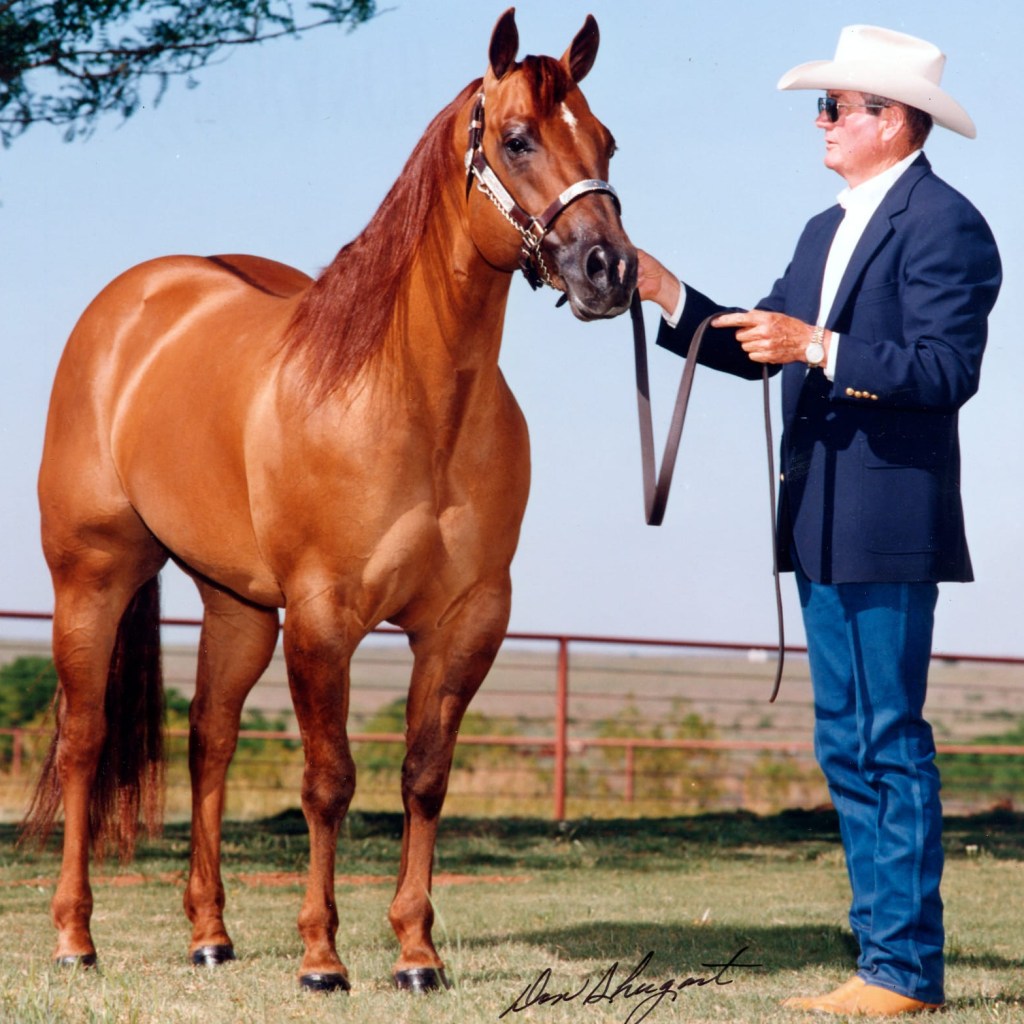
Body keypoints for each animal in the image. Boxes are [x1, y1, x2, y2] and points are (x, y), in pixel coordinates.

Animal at [26, 8, 635, 994]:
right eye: (517, 138)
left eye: (607, 140)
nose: (608, 269)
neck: (417, 399)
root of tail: (133, 304)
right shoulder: (324, 617)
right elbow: (329, 782)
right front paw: (322, 958)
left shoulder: (468, 621)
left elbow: (423, 778)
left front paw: (417, 954)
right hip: (93, 577)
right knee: (83, 742)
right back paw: (75, 938)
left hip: (236, 605)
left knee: (209, 739)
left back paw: (210, 936)